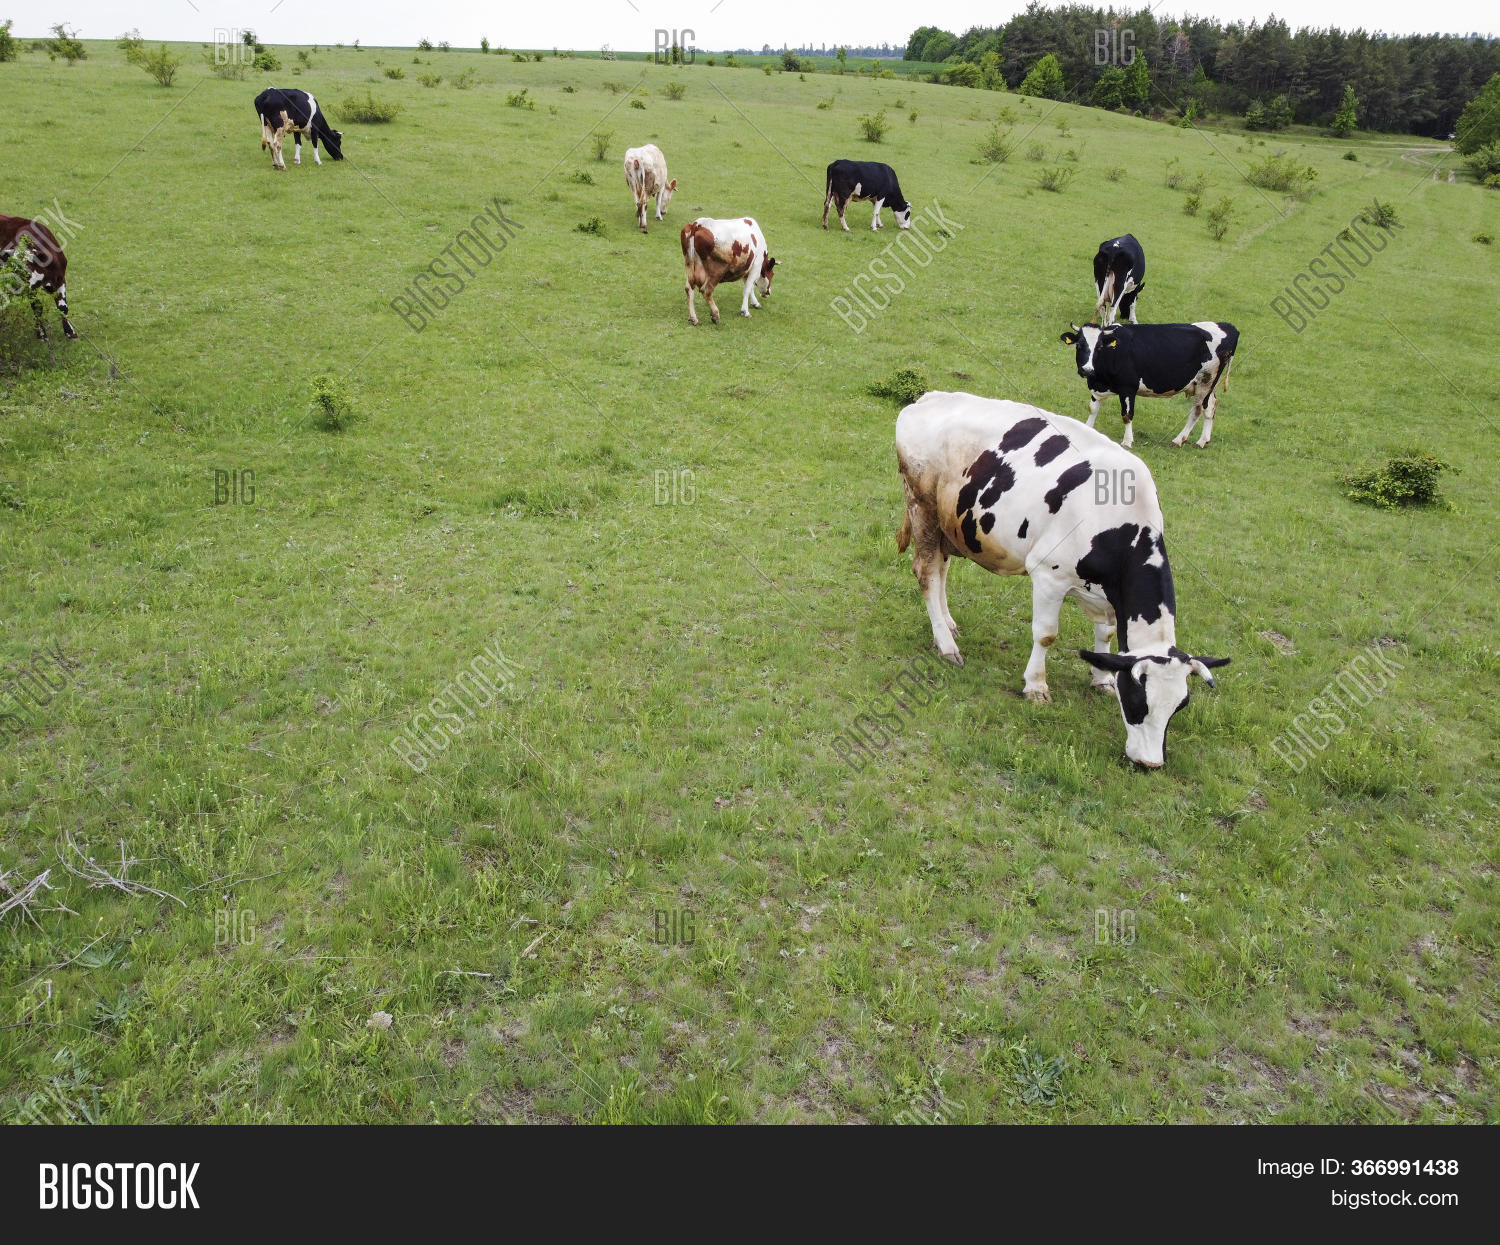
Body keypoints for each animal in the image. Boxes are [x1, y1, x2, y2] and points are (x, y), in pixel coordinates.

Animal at [895, 391, 1229, 768]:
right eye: (1137, 700)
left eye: (1180, 705)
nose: (1150, 763)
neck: (1118, 522)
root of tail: (929, 398)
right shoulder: (1048, 575)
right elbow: (1046, 635)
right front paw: (1036, 686)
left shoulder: (1109, 595)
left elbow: (1106, 635)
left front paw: (1102, 678)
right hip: (922, 507)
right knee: (927, 572)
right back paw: (946, 645)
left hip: (950, 522)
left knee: (941, 568)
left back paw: (948, 625)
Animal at [1060, 321, 1239, 450]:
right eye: (1079, 345)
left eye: (1099, 347)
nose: (1087, 369)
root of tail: (1228, 326)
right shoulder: (1097, 386)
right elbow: (1092, 409)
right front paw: (1086, 430)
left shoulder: (1128, 388)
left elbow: (1127, 415)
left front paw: (1127, 441)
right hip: (1207, 384)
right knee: (1211, 406)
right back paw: (1202, 440)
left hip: (1205, 382)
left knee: (1198, 409)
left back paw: (1180, 440)